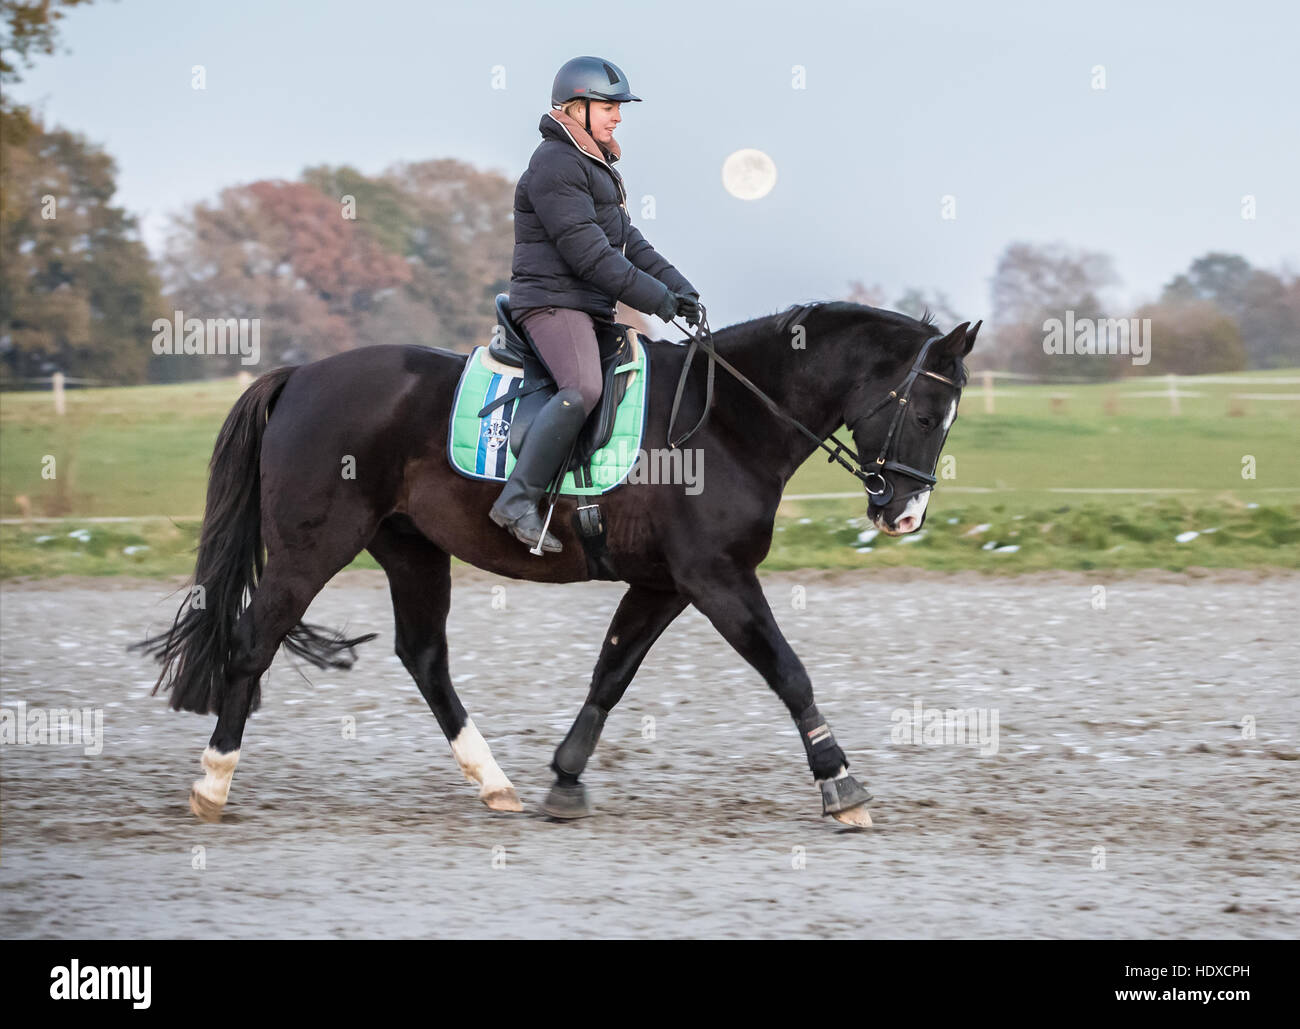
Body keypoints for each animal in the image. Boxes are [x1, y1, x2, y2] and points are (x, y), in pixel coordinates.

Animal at [135, 300, 979, 828]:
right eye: (925, 411)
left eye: (949, 417)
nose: (904, 515)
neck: (729, 422)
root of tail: (301, 375)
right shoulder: (717, 578)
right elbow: (788, 671)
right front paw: (841, 782)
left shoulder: (666, 582)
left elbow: (612, 671)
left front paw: (566, 775)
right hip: (314, 546)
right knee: (254, 643)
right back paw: (211, 783)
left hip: (410, 547)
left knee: (424, 656)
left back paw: (496, 784)